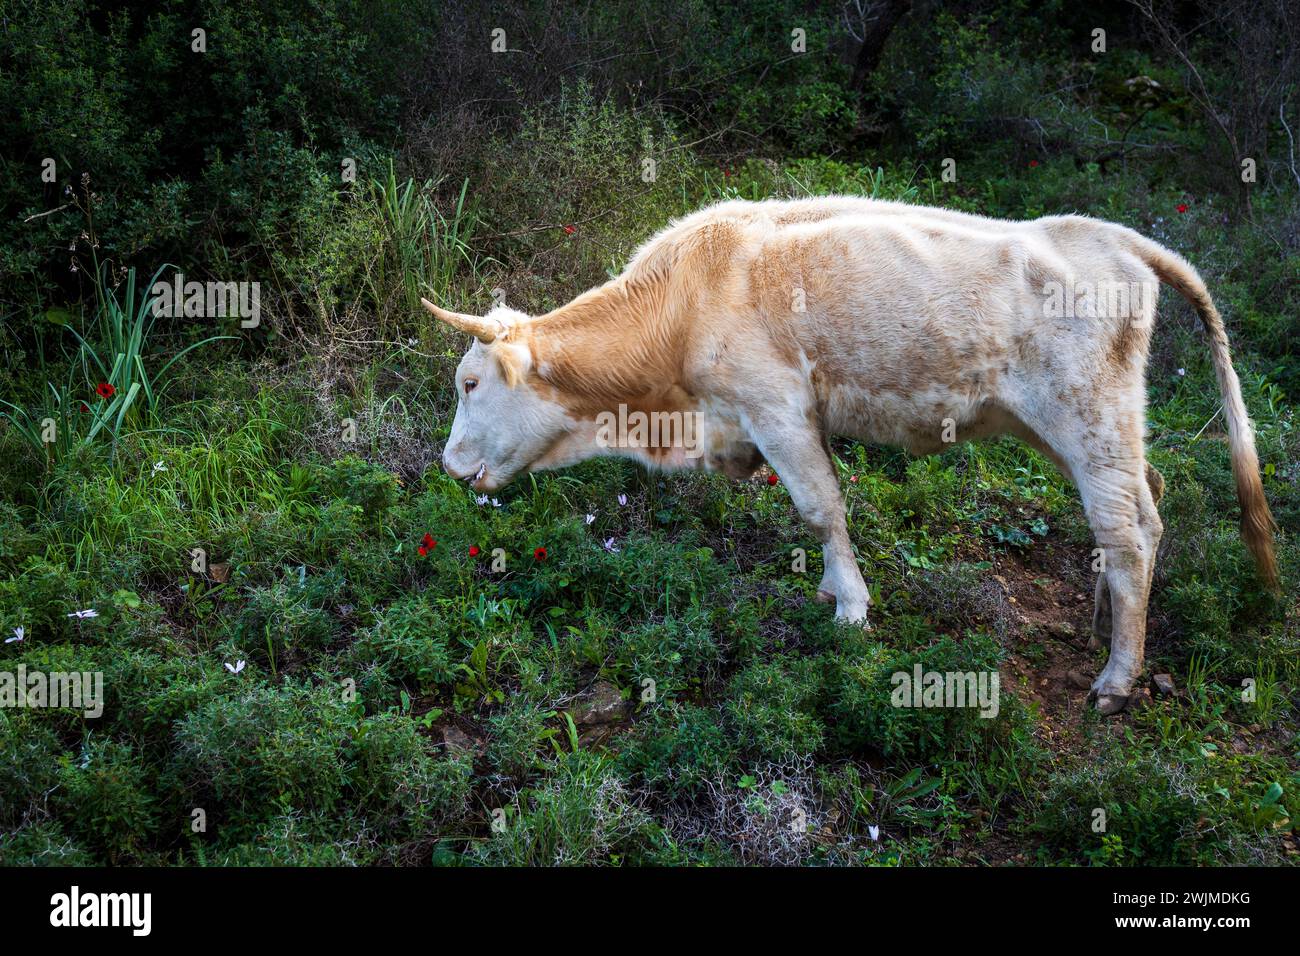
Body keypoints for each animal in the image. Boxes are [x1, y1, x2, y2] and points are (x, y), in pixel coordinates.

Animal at [423, 196, 1279, 714]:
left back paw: (1116, 679)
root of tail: (1111, 235)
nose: (450, 468)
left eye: (470, 381)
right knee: (1147, 510)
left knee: (1127, 536)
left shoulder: (778, 410)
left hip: (1089, 422)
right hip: (1093, 431)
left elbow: (820, 509)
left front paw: (850, 608)